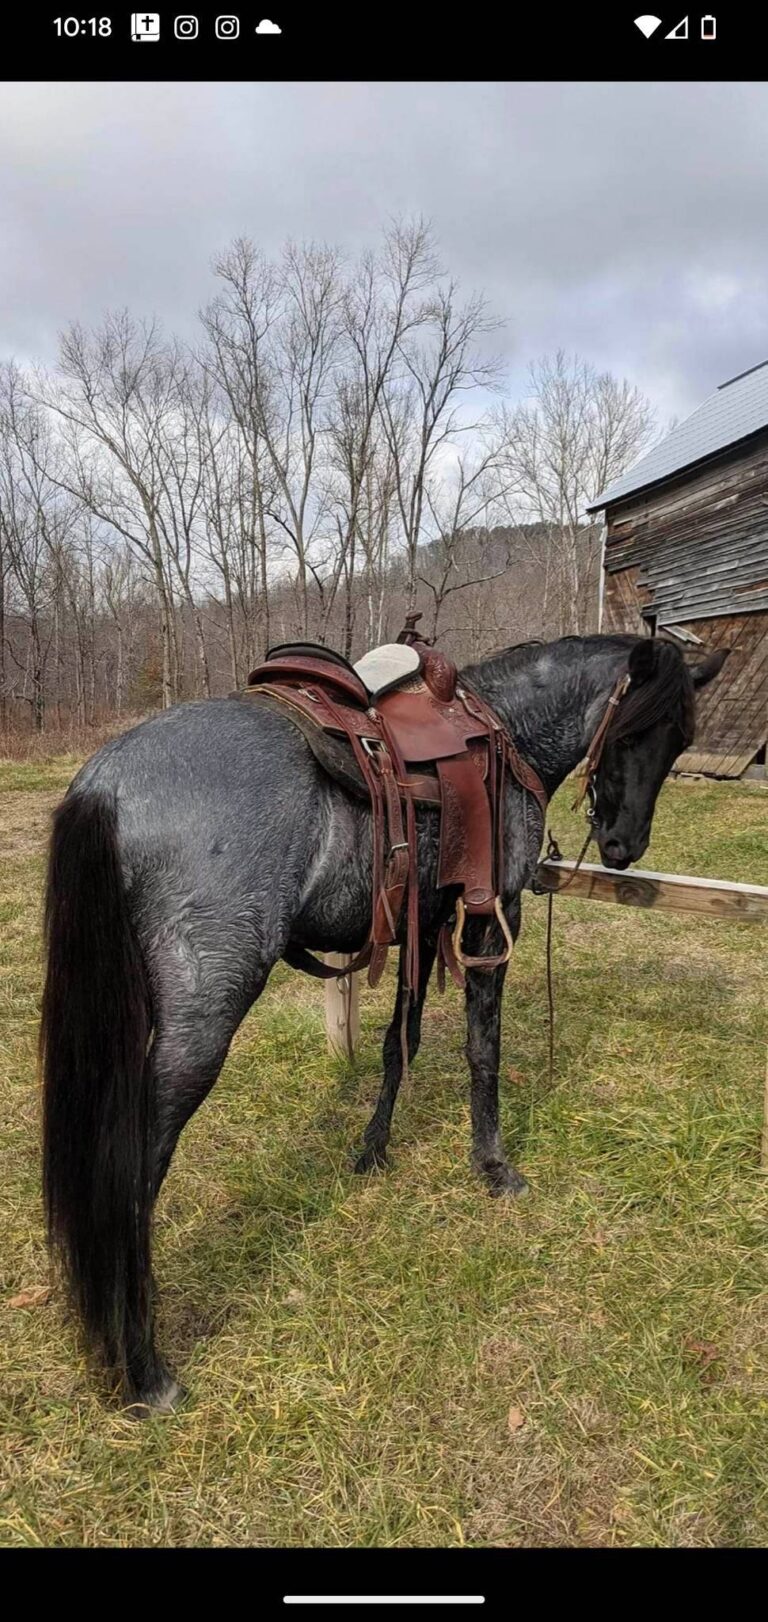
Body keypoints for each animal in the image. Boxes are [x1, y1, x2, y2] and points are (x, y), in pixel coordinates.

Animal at [40, 631, 726, 1412]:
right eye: (637, 731)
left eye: (680, 739)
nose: (623, 847)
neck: (507, 728)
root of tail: (106, 784)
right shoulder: (491, 919)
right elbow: (482, 1049)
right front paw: (494, 1167)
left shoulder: (421, 923)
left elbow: (401, 1042)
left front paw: (372, 1150)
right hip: (200, 1023)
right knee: (132, 1174)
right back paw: (146, 1372)